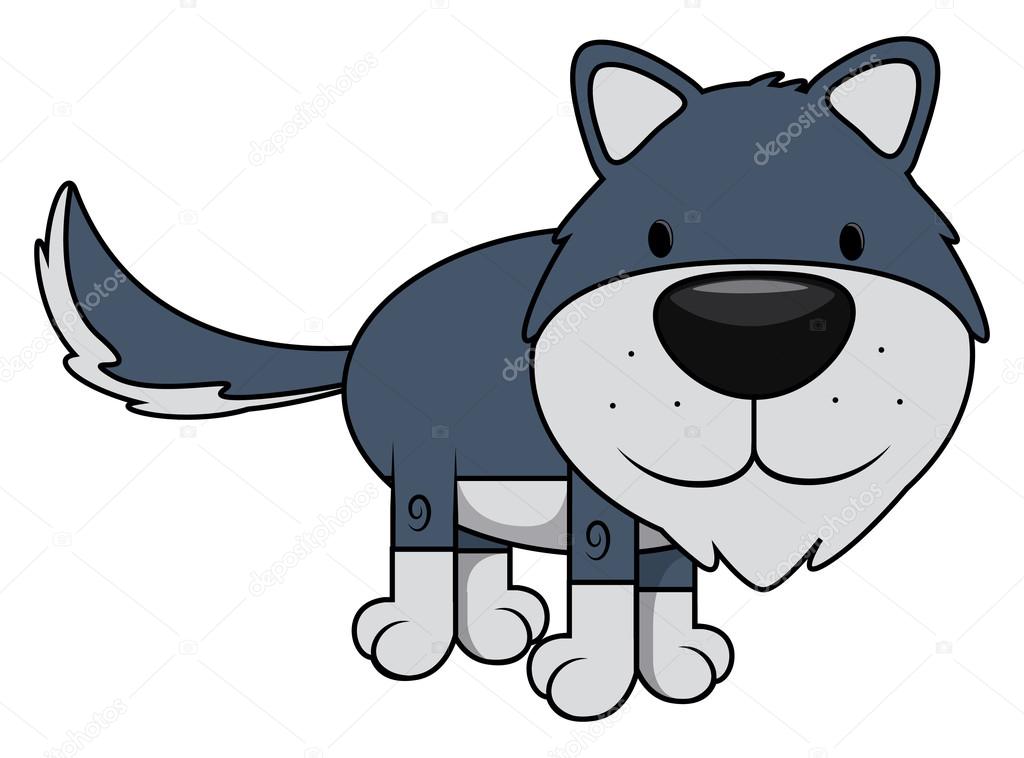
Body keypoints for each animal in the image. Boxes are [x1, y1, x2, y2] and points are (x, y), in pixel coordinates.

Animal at [37, 37, 986, 720]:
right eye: (658, 236)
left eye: (854, 238)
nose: (754, 329)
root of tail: (366, 336)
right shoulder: (603, 506)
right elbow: (601, 589)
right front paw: (593, 680)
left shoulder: (664, 529)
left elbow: (665, 594)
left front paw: (674, 666)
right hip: (423, 471)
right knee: (424, 542)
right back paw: (414, 637)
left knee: (477, 544)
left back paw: (494, 628)